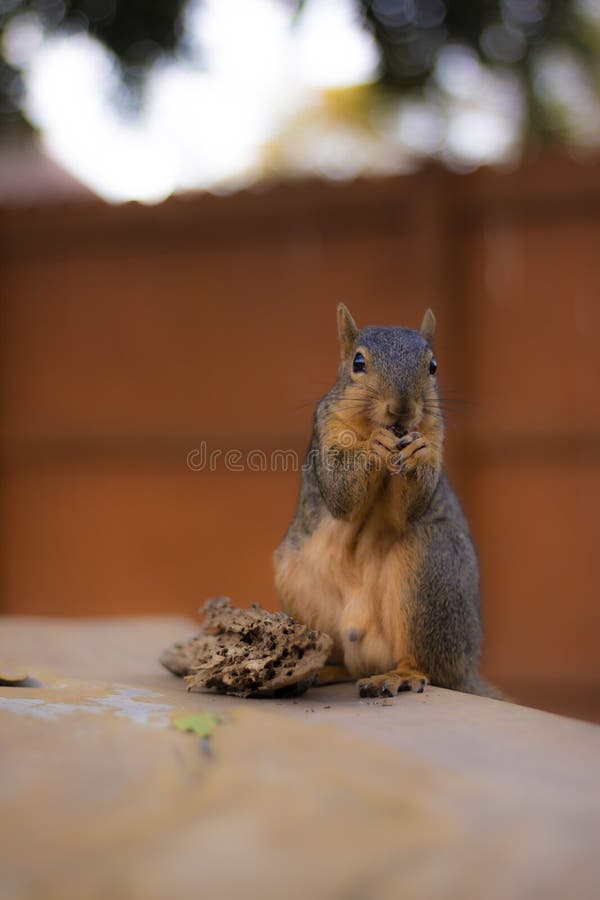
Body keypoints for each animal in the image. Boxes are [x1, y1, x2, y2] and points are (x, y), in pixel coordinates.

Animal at [274, 304, 500, 699]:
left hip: (431, 567)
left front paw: (416, 455)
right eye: (358, 362)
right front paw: (373, 448)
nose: (402, 407)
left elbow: (408, 507)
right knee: (343, 661)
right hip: (299, 585)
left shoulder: (435, 433)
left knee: (426, 665)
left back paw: (400, 675)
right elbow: (341, 492)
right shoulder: (327, 429)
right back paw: (324, 670)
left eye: (433, 365)